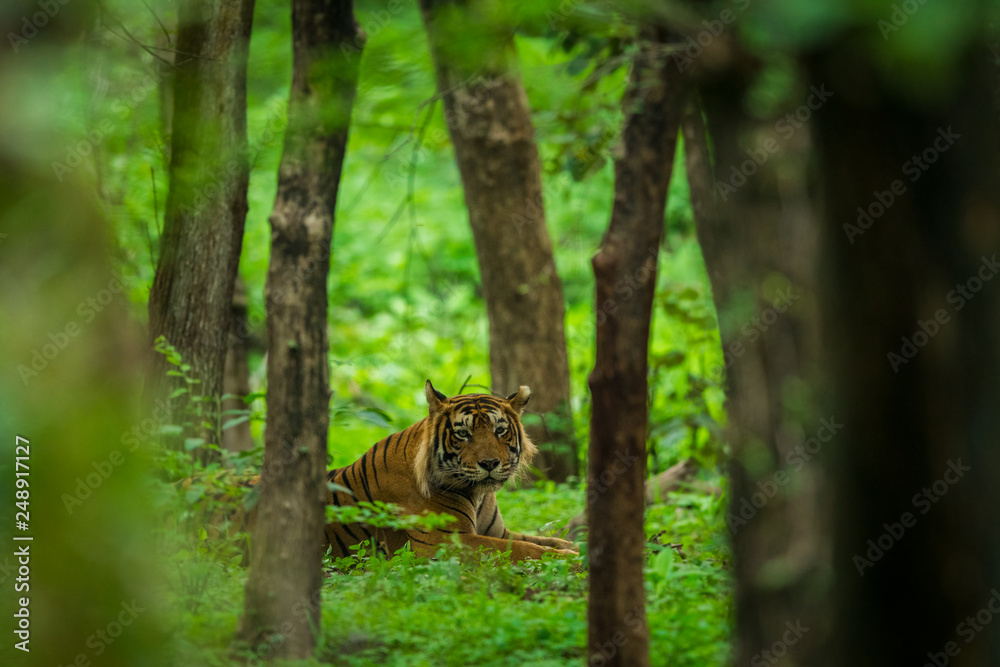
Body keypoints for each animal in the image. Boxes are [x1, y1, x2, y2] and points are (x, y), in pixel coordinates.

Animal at [320, 380, 579, 561]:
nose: (489, 463)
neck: (478, 494)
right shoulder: (444, 541)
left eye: (500, 430)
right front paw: (572, 561)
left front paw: (577, 548)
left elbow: (547, 540)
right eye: (463, 433)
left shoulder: (499, 532)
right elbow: (525, 549)